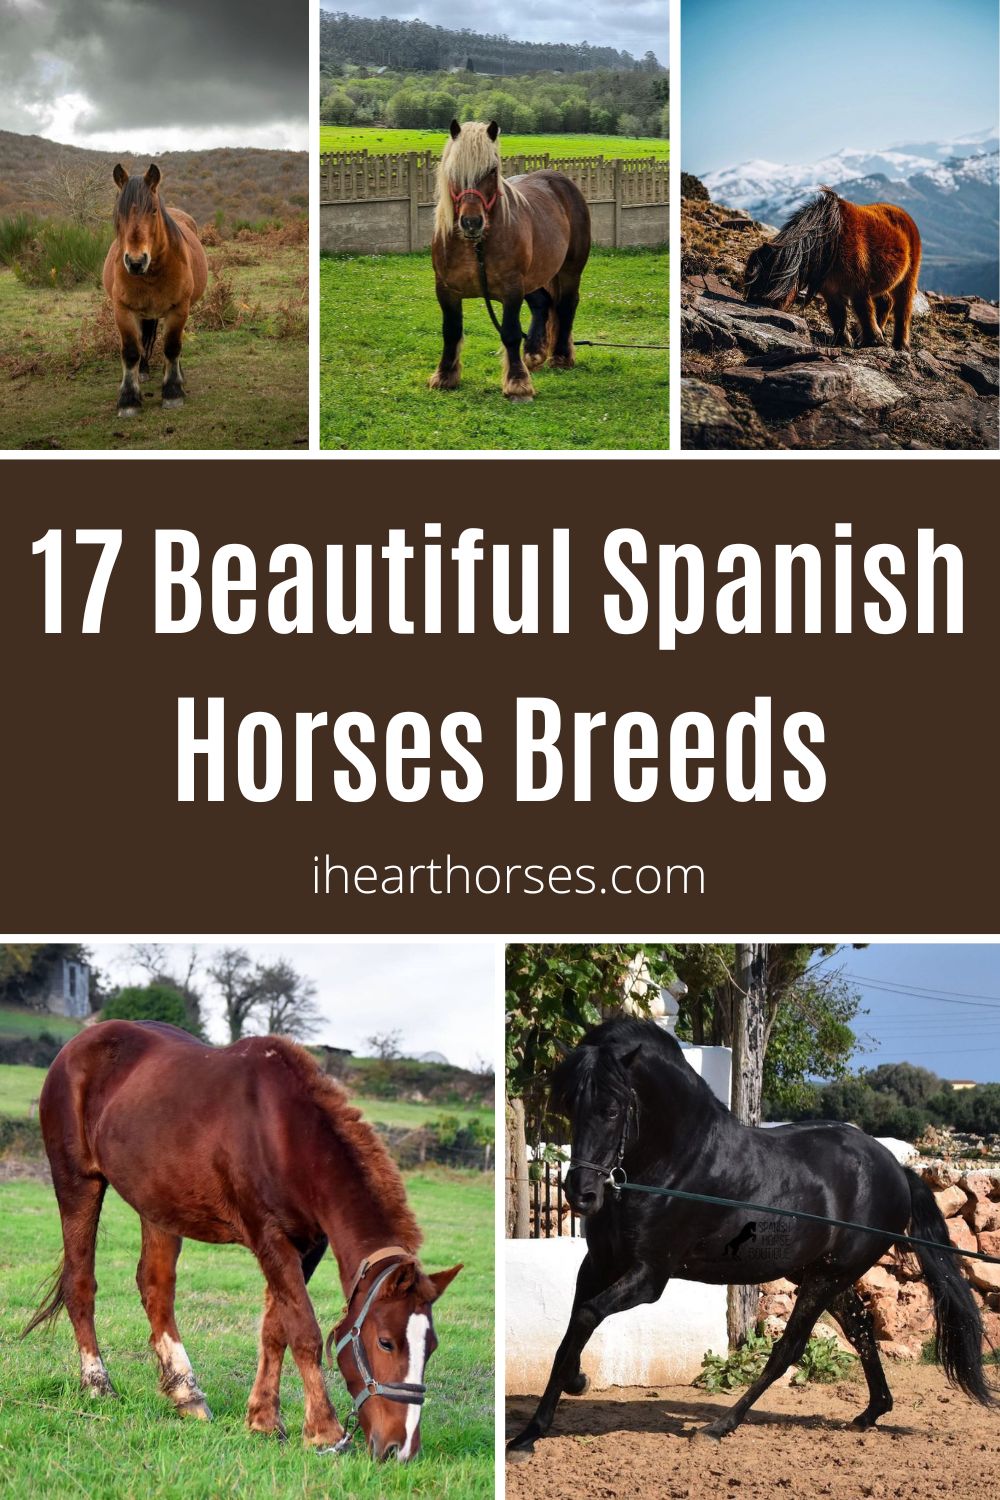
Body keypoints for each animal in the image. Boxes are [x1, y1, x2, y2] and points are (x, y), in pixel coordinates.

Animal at [23, 1021, 461, 1462]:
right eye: (386, 1342)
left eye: (432, 1346)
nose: (401, 1449)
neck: (285, 1133)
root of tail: (79, 1044)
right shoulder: (268, 1237)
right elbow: (304, 1331)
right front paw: (324, 1430)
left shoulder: (307, 1246)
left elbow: (275, 1329)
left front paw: (263, 1420)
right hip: (78, 1182)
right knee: (81, 1284)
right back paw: (98, 1385)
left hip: (157, 1205)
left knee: (155, 1288)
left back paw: (186, 1393)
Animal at [103, 163, 208, 415]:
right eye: (119, 212)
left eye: (152, 210)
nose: (135, 262)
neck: (151, 274)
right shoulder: (123, 311)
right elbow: (131, 351)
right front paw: (129, 400)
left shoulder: (179, 309)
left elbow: (172, 347)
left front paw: (173, 393)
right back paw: (143, 371)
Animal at [429, 120, 591, 402]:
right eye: (453, 170)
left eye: (492, 170)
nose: (471, 222)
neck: (476, 246)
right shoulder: (446, 290)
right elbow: (451, 331)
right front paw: (445, 376)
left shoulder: (512, 288)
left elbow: (511, 333)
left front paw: (517, 383)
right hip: (535, 276)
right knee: (543, 303)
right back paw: (534, 352)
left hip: (569, 271)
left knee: (566, 305)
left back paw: (560, 356)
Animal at [506, 1017, 994, 1460]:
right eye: (570, 1105)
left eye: (611, 1108)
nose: (581, 1194)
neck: (674, 1163)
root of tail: (896, 1170)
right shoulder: (599, 1262)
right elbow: (571, 1329)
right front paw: (556, 1403)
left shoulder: (649, 1276)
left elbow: (586, 1316)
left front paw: (533, 1432)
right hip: (823, 1276)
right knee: (860, 1331)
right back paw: (871, 1413)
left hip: (826, 1279)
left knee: (788, 1350)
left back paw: (719, 1426)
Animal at [743, 188, 921, 351]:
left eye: (768, 282)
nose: (755, 305)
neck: (830, 243)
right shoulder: (830, 290)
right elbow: (837, 315)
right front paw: (843, 341)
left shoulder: (859, 288)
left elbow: (864, 311)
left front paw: (873, 340)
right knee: (886, 303)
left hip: (907, 279)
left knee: (903, 309)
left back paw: (900, 344)